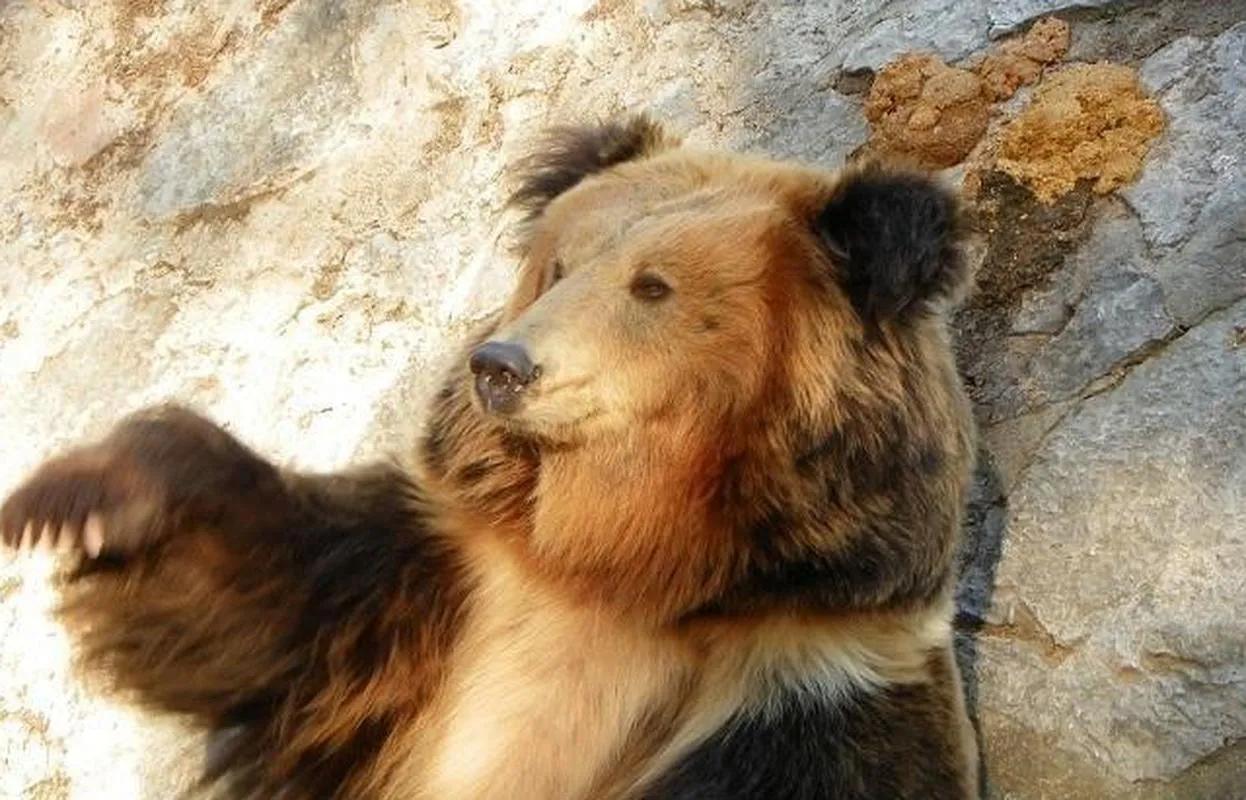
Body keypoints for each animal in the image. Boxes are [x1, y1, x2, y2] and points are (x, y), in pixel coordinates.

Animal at [1, 115, 979, 799]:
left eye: (652, 286)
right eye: (560, 264)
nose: (500, 365)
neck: (620, 571)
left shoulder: (797, 692)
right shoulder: (449, 598)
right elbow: (263, 596)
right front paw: (92, 497)